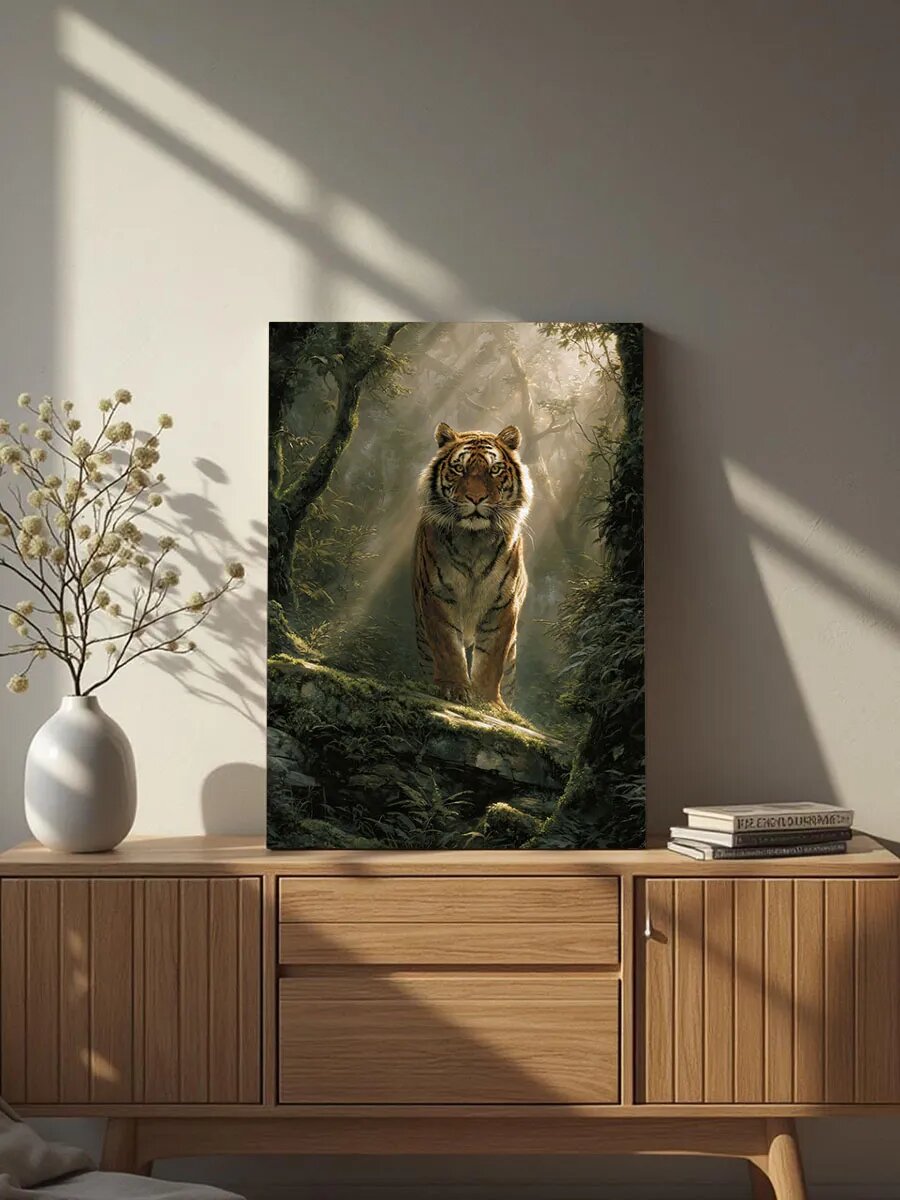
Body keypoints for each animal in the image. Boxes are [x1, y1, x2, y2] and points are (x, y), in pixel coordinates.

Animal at [413, 421, 532, 707]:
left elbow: (492, 658)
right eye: (459, 468)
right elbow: (448, 645)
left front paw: (488, 701)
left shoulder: (503, 604)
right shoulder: (437, 595)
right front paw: (454, 688)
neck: (474, 540)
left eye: (495, 469)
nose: (476, 498)